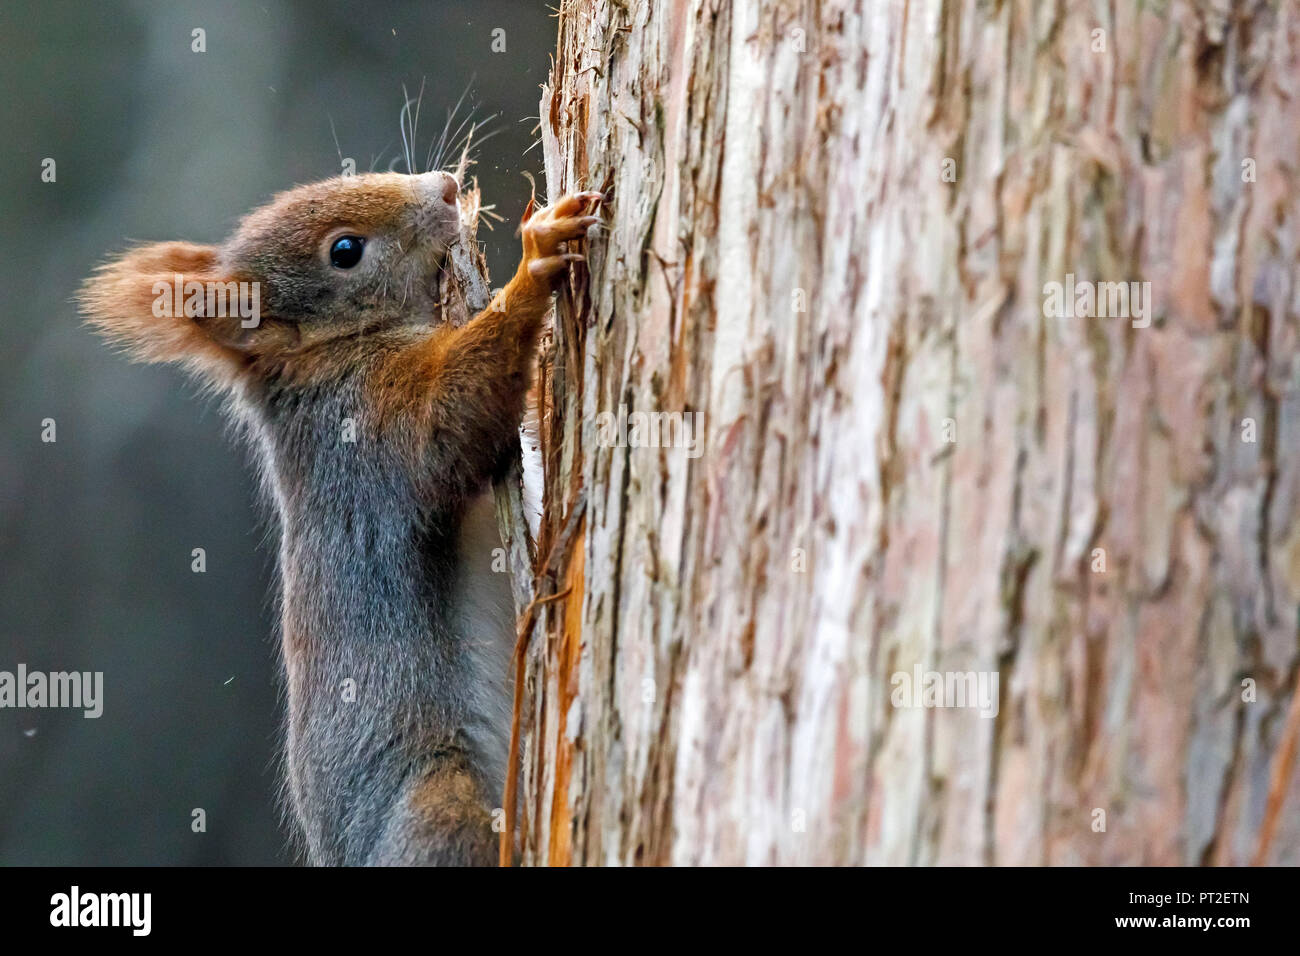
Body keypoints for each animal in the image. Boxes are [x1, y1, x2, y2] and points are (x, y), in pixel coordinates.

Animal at [81, 170, 602, 865]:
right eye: (346, 251)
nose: (444, 187)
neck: (332, 357)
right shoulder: (367, 429)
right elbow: (448, 422)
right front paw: (536, 260)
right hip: (436, 800)